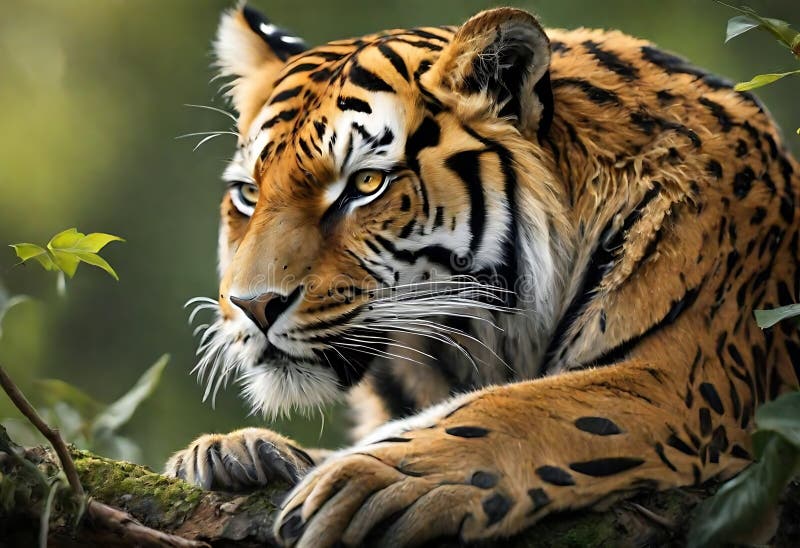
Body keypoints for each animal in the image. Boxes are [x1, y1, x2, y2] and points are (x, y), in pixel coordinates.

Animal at [165, 3, 800, 547]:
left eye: (366, 184)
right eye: (248, 195)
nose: (252, 306)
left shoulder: (682, 376)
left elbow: (525, 407)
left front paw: (369, 478)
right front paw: (235, 453)